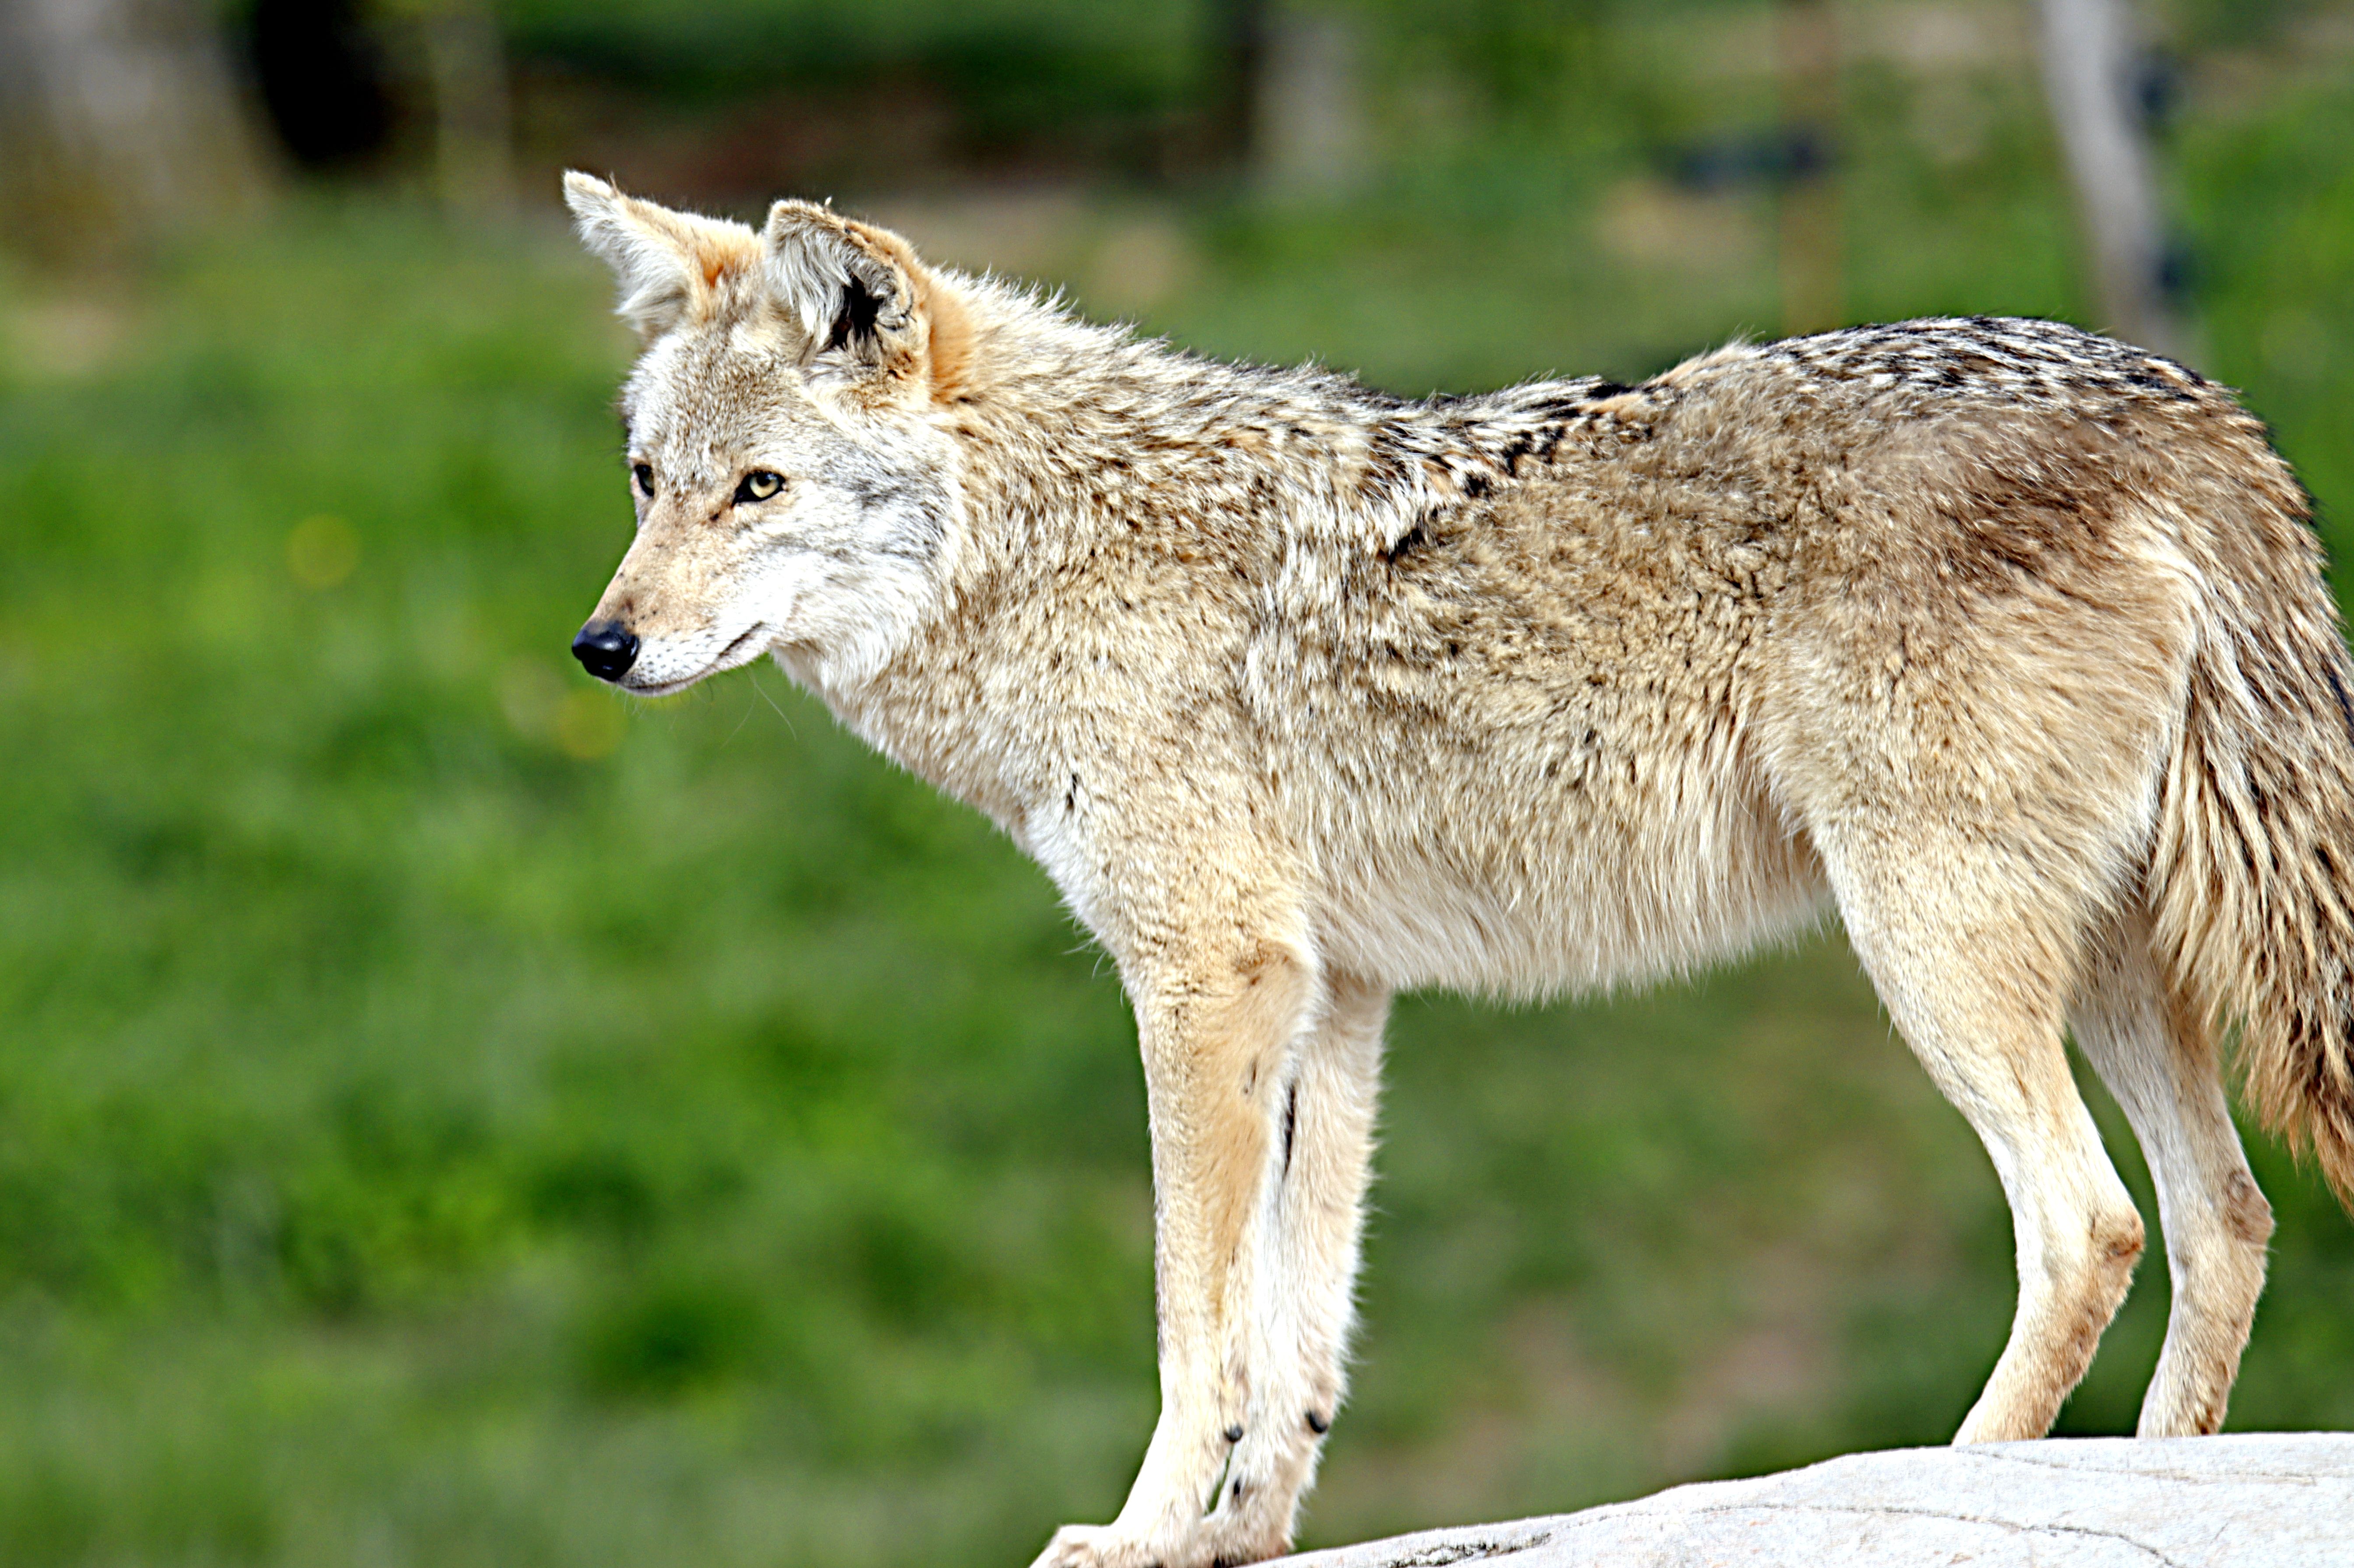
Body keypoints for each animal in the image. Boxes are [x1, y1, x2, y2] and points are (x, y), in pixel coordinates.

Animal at [557, 171, 2354, 1568]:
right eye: (649, 482)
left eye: (758, 488)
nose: (599, 647)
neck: (1058, 549)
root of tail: (2192, 405)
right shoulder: (1335, 997)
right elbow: (1297, 1333)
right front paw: (1237, 1535)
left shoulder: (1208, 985)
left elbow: (1194, 1322)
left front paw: (1139, 1533)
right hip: (2102, 964)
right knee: (2224, 1216)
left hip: (1932, 951)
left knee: (2089, 1225)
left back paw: (1966, 1470)